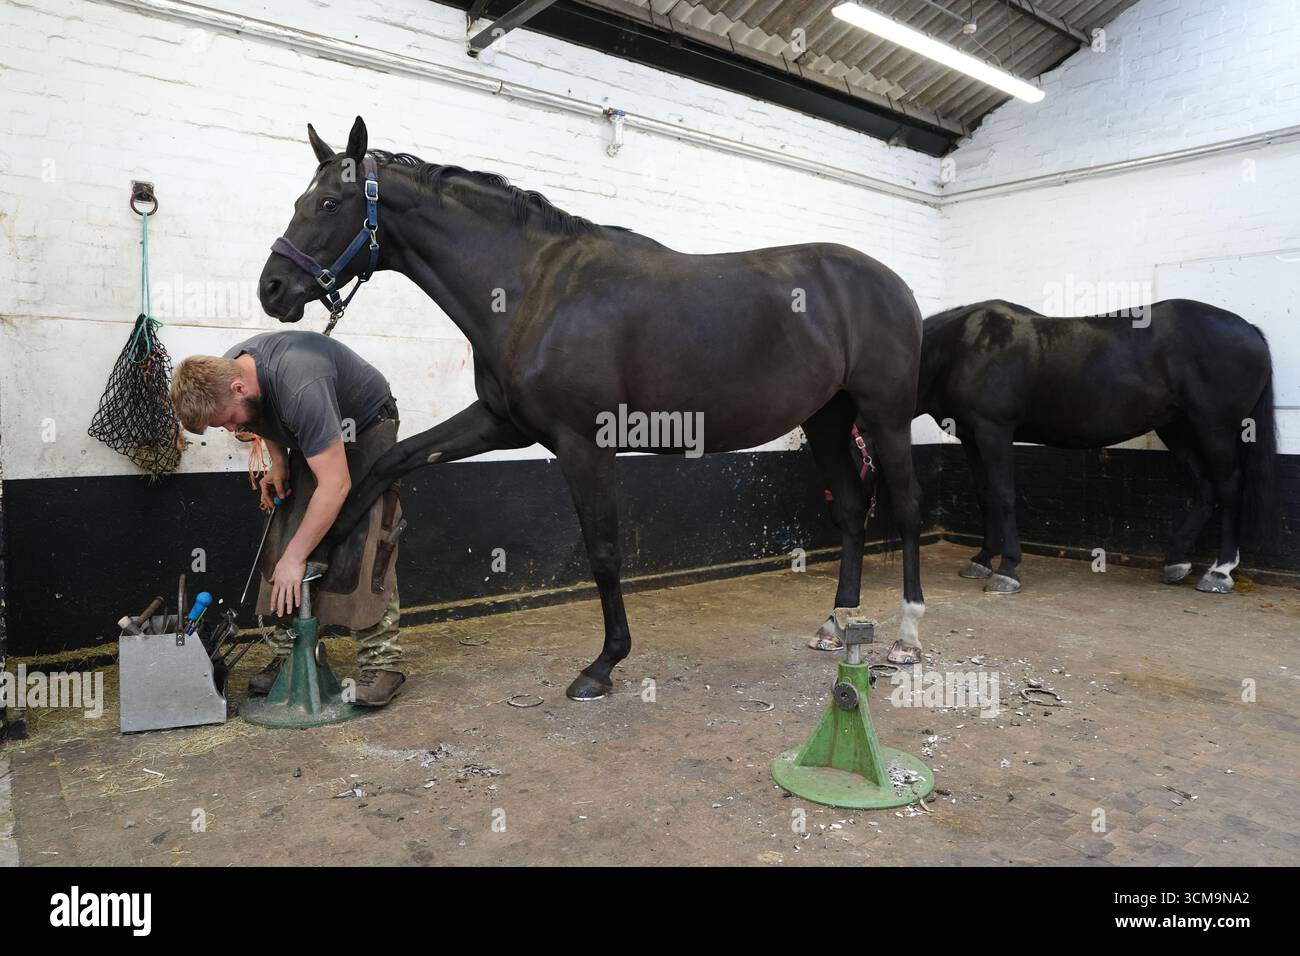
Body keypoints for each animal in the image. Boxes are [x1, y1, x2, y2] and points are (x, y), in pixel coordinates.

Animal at [255, 116, 930, 699]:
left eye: (330, 204)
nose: (272, 288)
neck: (531, 289)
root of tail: (895, 283)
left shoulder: (584, 444)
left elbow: (603, 551)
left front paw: (604, 664)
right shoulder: (499, 424)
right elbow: (386, 464)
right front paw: (319, 555)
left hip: (885, 417)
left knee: (904, 511)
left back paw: (907, 636)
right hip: (826, 419)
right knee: (850, 508)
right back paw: (837, 623)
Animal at [917, 299, 1278, 594]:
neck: (963, 346)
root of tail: (1249, 330)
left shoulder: (994, 432)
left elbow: (1003, 496)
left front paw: (1007, 570)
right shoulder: (971, 437)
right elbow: (985, 496)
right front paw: (981, 559)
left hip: (1214, 429)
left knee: (1229, 487)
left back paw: (1220, 572)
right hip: (1176, 428)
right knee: (1205, 487)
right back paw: (1177, 562)